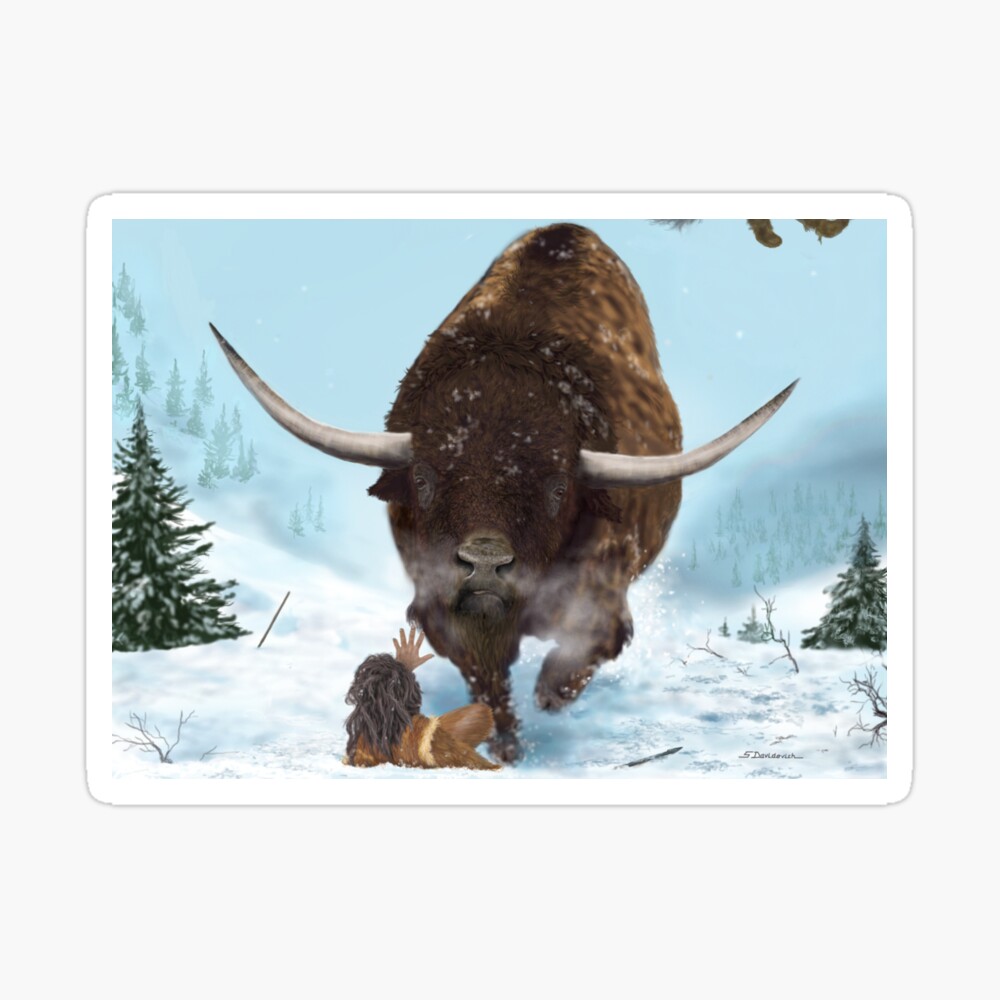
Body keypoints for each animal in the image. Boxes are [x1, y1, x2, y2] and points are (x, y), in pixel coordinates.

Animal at [212, 222, 795, 762]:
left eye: (558, 486)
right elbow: (486, 675)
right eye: (423, 477)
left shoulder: (604, 588)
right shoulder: (443, 609)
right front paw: (506, 743)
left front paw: (549, 696)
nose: (486, 564)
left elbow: (584, 645)